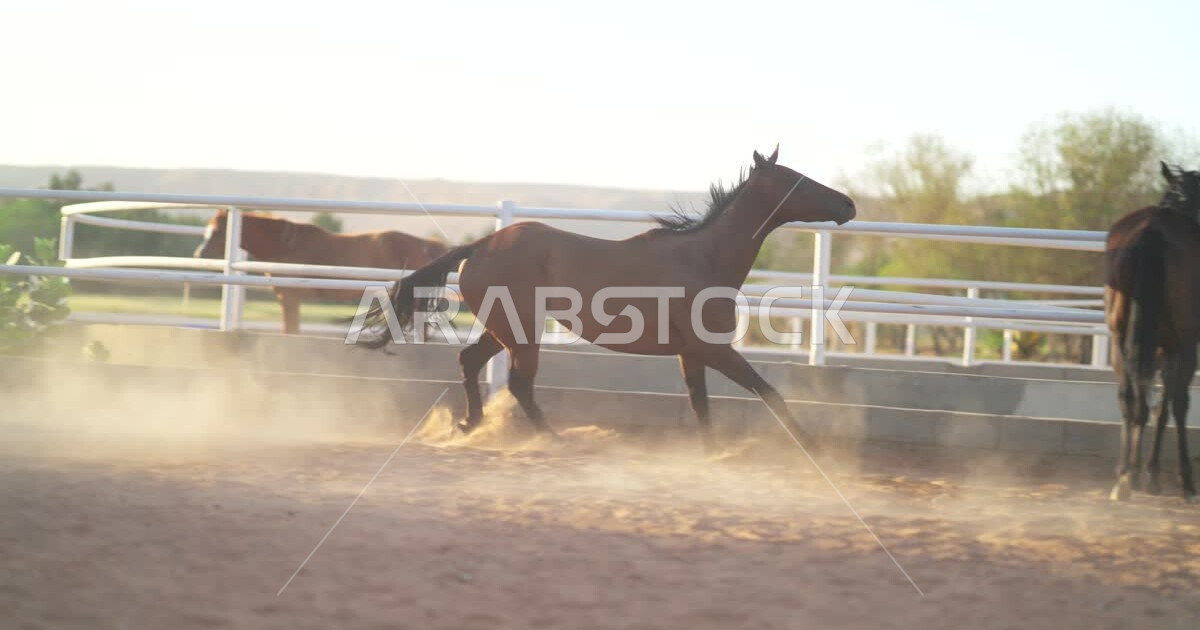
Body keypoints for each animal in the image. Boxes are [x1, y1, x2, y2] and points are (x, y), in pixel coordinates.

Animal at [195, 209, 447, 334]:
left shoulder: (290, 297)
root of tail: (424, 245)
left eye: (218, 231)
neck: (286, 243)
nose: (200, 253)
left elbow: (291, 331)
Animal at [360, 147, 856, 451]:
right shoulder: (714, 349)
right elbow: (766, 390)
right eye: (797, 180)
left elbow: (701, 403)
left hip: (504, 330)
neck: (701, 258)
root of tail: (481, 246)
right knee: (518, 383)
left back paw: (471, 424)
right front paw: (812, 448)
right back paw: (551, 437)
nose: (848, 204)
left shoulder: (691, 353)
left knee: (470, 361)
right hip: (522, 332)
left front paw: (712, 452)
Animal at [1104, 161, 1200, 502]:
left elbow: (1153, 404)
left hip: (1119, 337)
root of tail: (1151, 231)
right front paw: (1159, 474)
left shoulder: (1156, 350)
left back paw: (1122, 476)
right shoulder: (1177, 347)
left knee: (1128, 396)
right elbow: (1170, 404)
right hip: (1184, 342)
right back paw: (1185, 481)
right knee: (1177, 401)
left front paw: (1142, 472)